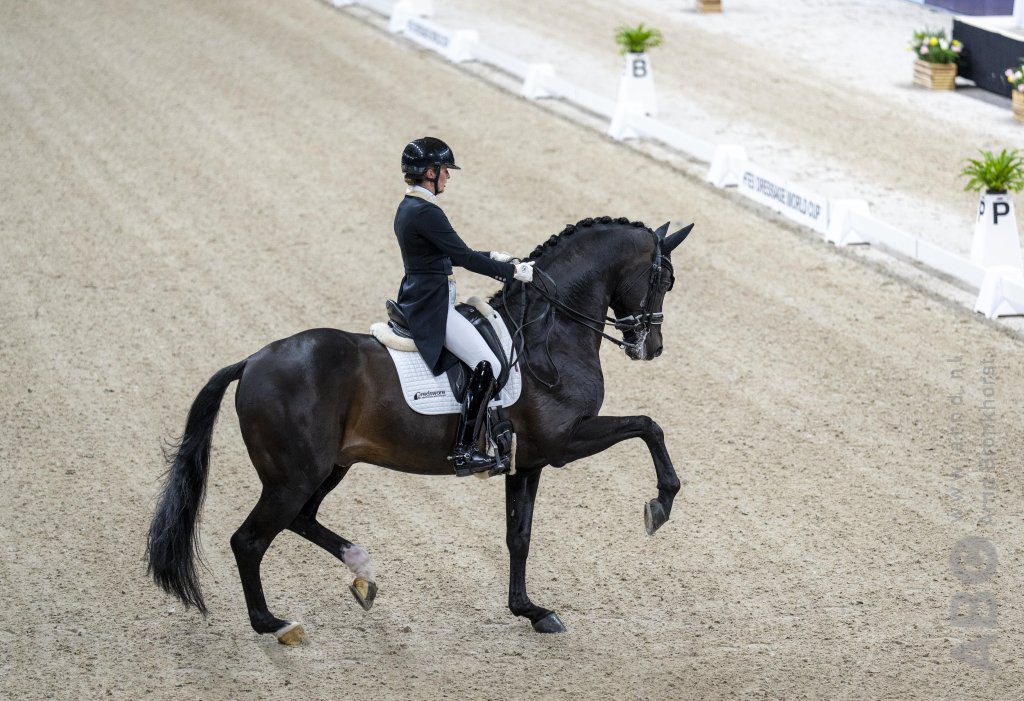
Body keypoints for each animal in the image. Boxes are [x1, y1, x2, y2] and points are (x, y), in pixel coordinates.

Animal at [147, 215, 693, 644]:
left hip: (329, 467)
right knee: (250, 541)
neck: (548, 332)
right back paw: (276, 623)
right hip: (293, 476)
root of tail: (252, 362)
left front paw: (532, 611)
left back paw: (363, 573)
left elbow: (519, 536)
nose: (651, 347)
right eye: (664, 278)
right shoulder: (563, 442)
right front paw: (660, 505)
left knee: (301, 519)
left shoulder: (529, 459)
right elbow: (649, 426)